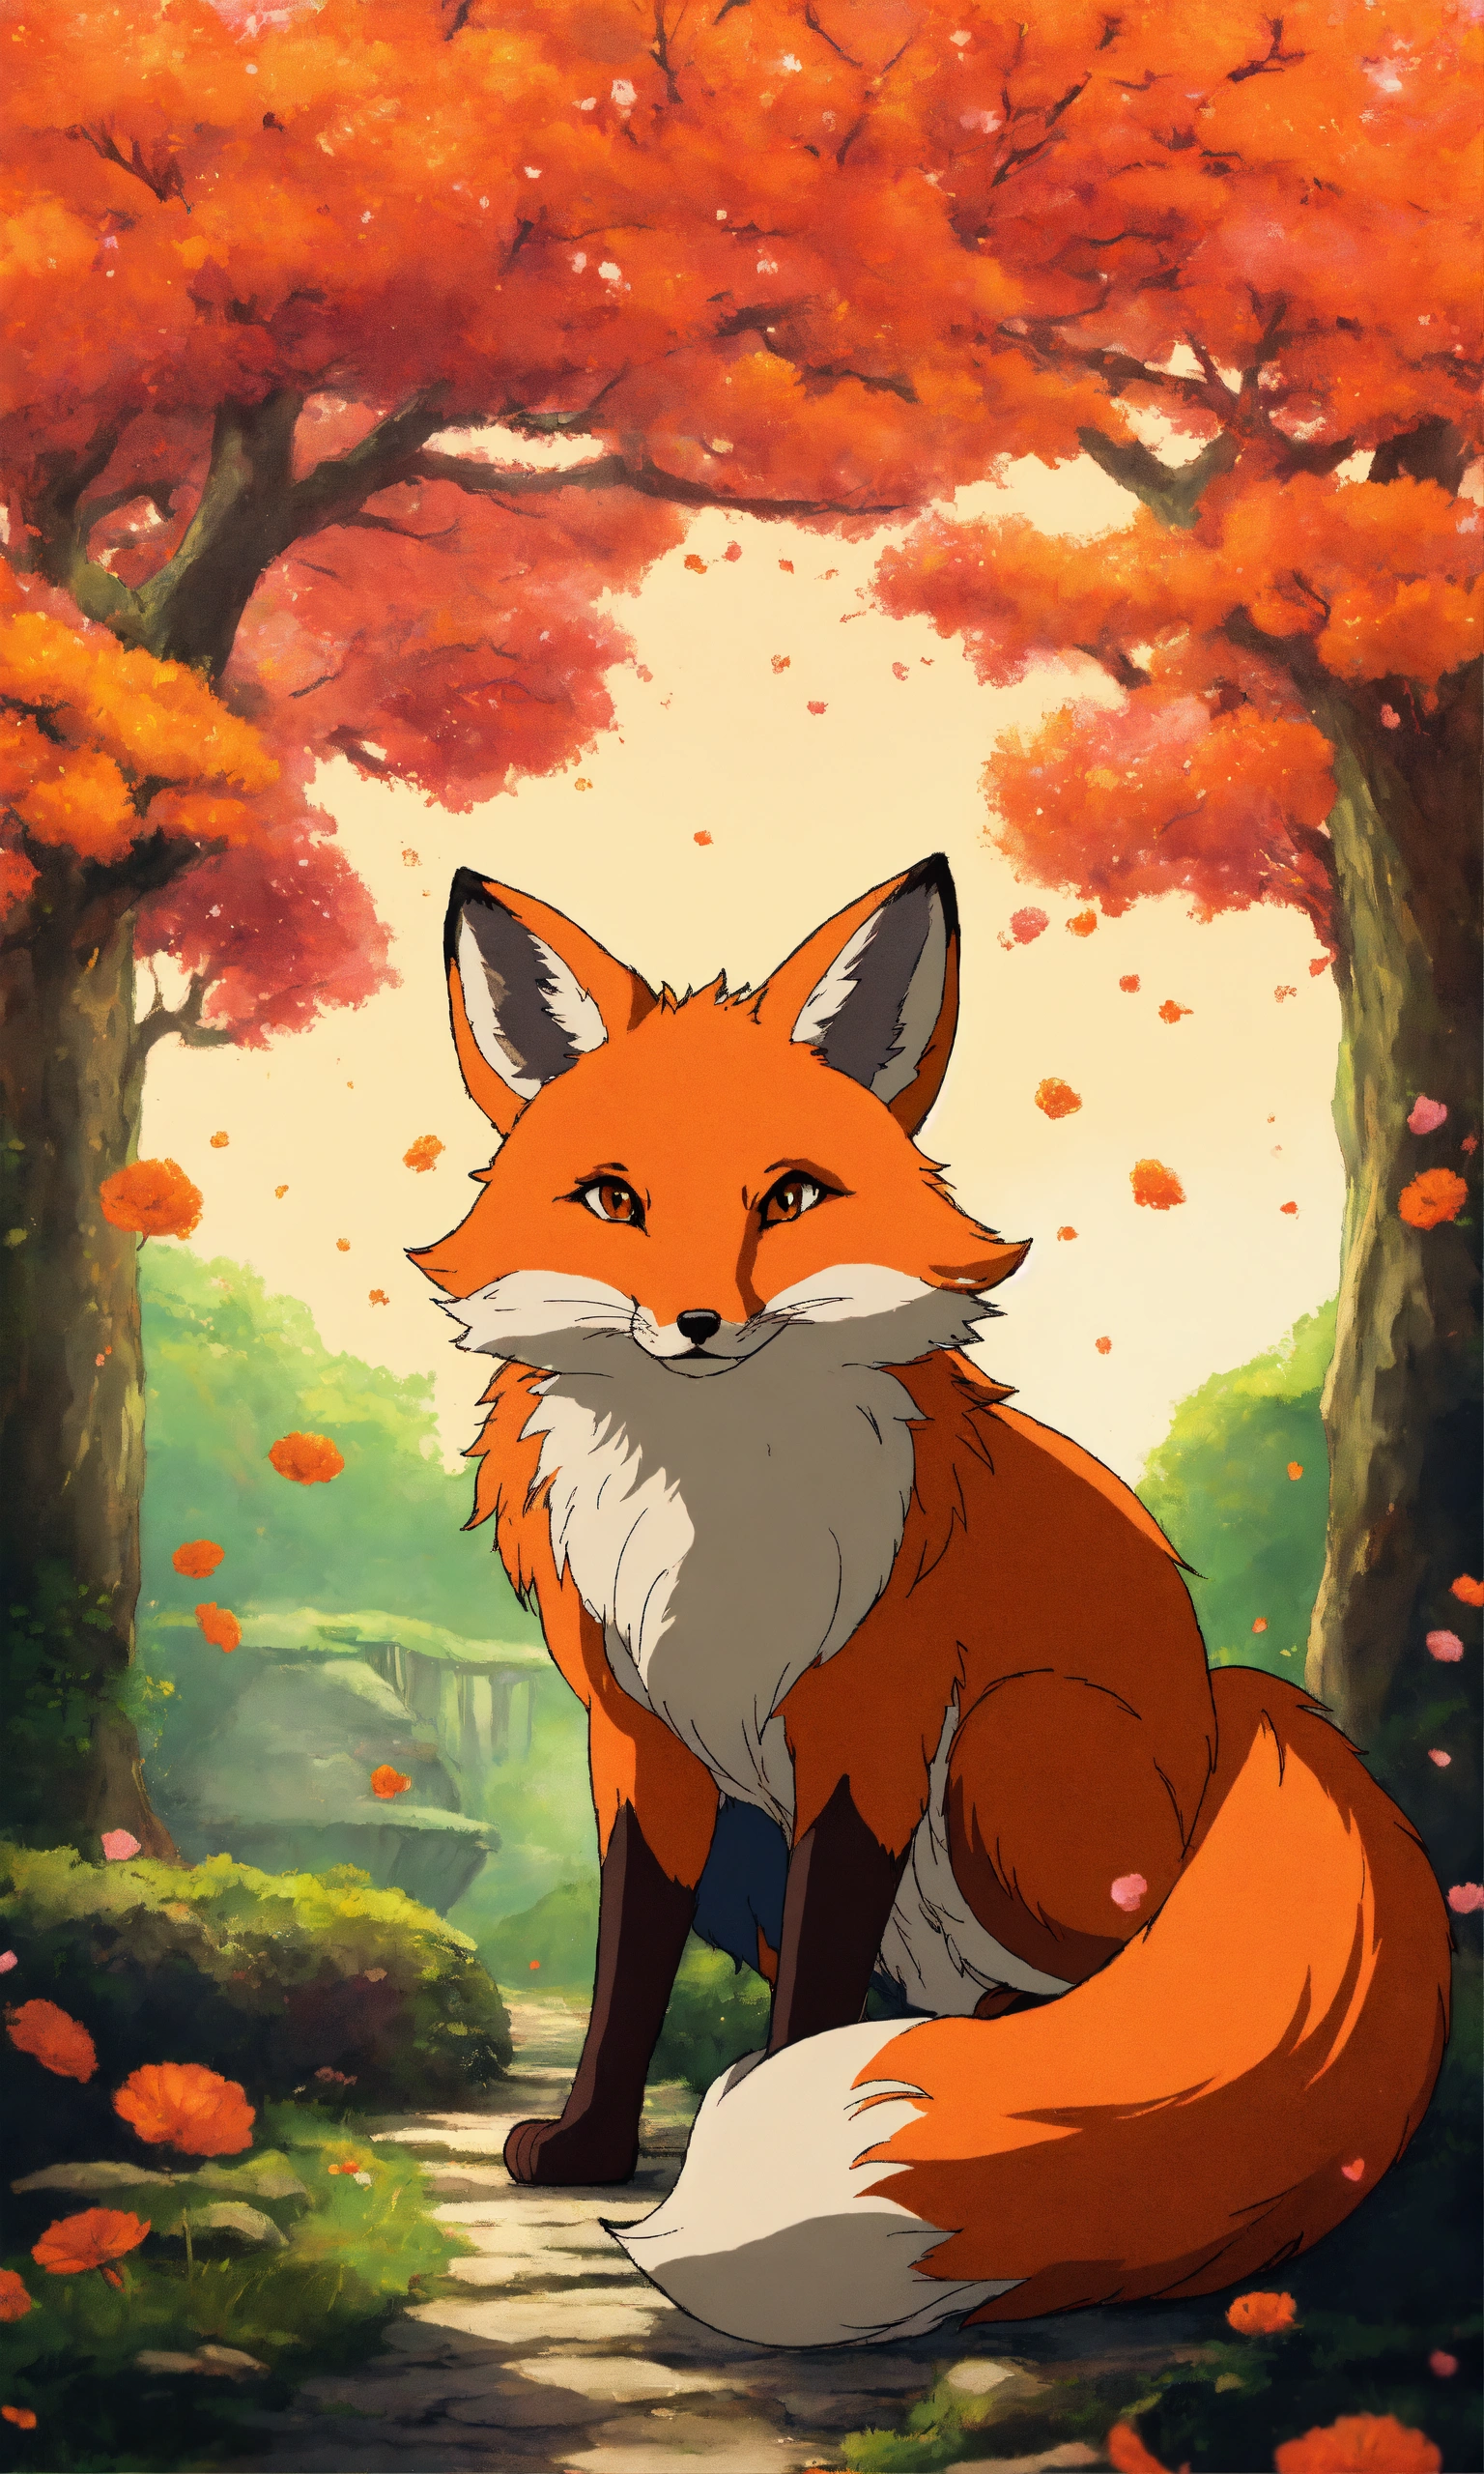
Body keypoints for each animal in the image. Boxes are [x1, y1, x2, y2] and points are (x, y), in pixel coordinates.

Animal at [413, 853, 1451, 2350]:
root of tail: (1237, 1711)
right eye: (613, 1202)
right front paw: (592, 2148)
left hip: (1017, 1743)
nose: (697, 1325)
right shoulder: (643, 1741)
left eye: (788, 1198)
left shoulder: (873, 1728)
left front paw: (777, 2140)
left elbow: (810, 1993)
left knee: (1097, 1985)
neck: (716, 1507)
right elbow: (627, 1965)